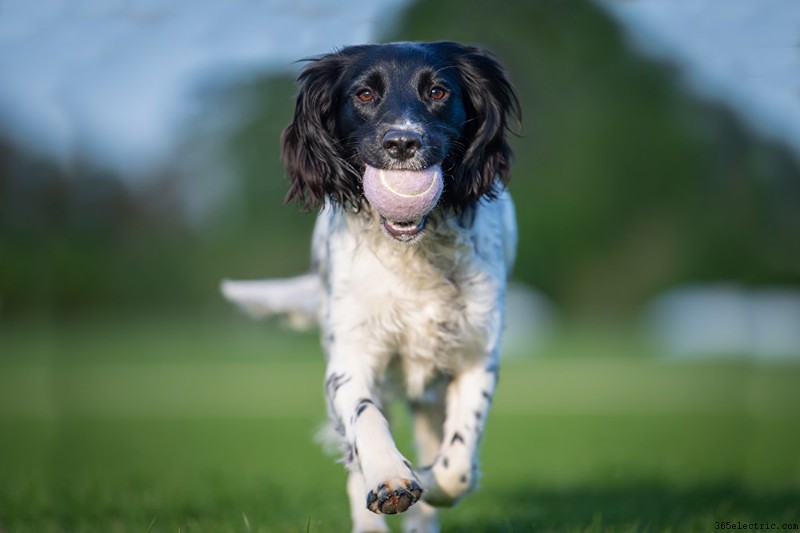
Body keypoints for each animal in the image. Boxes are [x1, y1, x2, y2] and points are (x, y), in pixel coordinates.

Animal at [220, 41, 520, 532]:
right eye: (363, 94)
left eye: (437, 91)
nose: (401, 142)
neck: (414, 252)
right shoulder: (351, 354)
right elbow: (366, 418)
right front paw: (390, 477)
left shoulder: (476, 355)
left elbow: (455, 466)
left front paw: (432, 480)